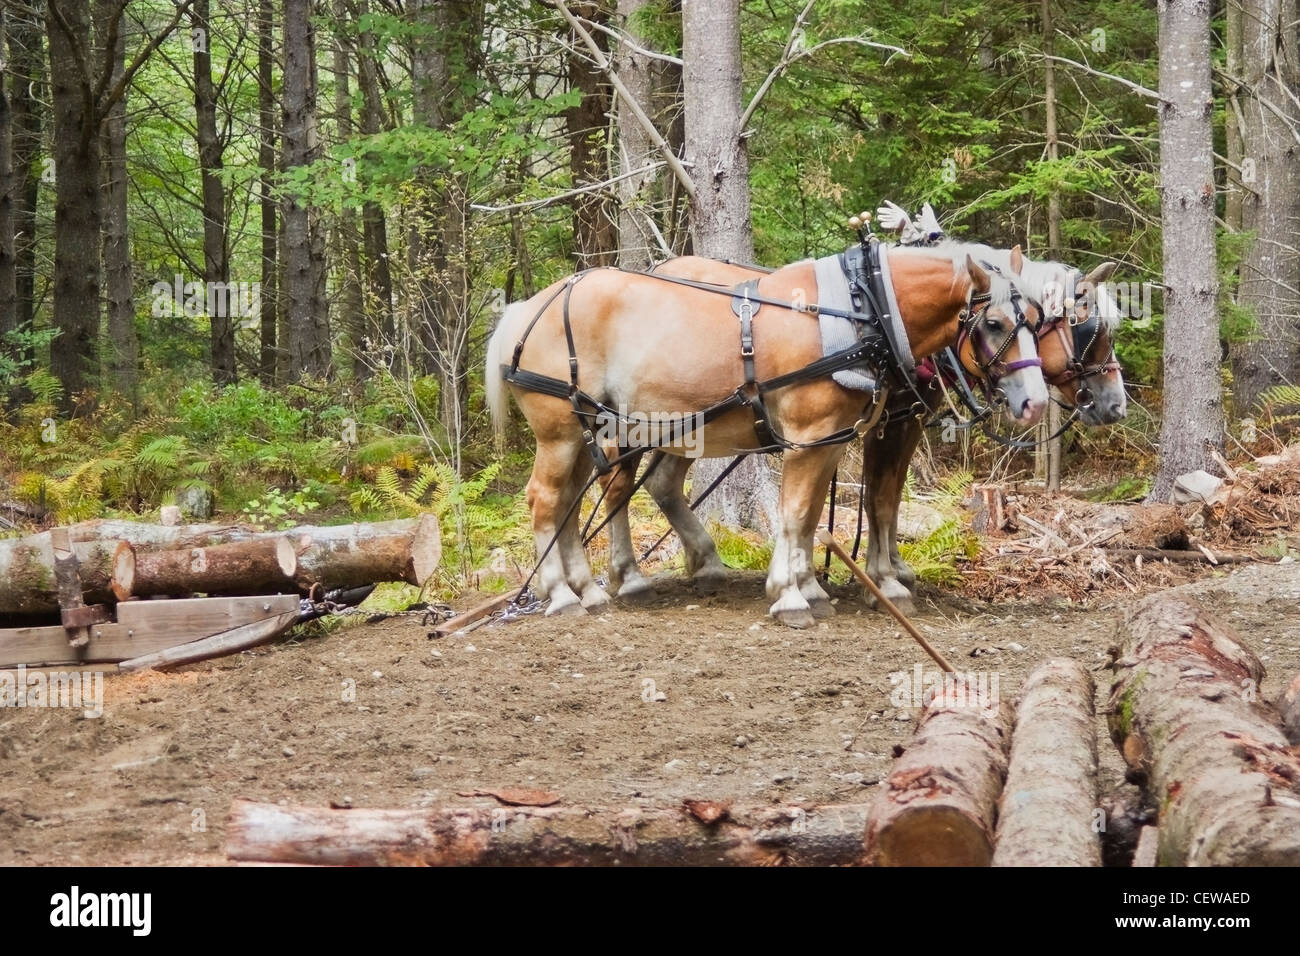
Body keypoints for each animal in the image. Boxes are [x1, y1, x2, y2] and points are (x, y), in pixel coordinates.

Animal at [485, 242, 1048, 627]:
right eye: (994, 323)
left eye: (1038, 321)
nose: (1036, 402)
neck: (862, 309)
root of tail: (528, 308)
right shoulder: (810, 436)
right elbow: (797, 512)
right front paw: (792, 594)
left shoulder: (830, 439)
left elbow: (812, 514)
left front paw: (807, 586)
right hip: (562, 432)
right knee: (547, 499)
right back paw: (562, 593)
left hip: (596, 431)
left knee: (577, 502)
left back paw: (591, 588)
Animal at [595, 245, 1126, 611]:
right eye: (1091, 329)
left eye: (1037, 321)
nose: (1116, 405)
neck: (883, 318)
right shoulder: (892, 424)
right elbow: (880, 499)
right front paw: (883, 579)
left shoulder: (891, 422)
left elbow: (880, 500)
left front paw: (879, 572)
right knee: (617, 485)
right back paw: (628, 576)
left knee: (662, 484)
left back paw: (705, 563)